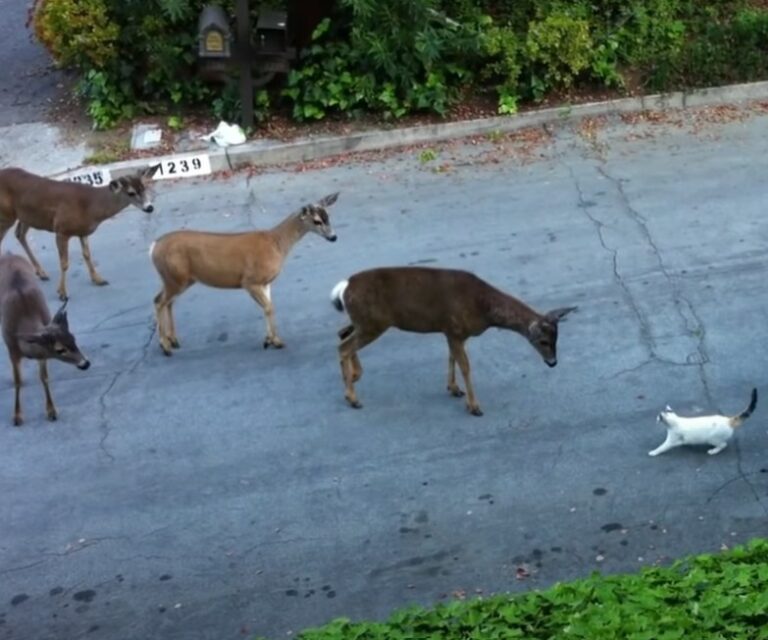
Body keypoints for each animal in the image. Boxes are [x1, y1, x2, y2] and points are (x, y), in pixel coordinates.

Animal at [0, 164, 160, 301]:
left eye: (144, 187)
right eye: (131, 193)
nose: (150, 207)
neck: (91, 207)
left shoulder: (83, 232)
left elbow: (87, 255)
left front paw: (98, 279)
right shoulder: (61, 229)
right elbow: (64, 263)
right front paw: (62, 293)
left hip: (26, 216)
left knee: (19, 234)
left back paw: (41, 273)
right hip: (6, 215)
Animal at [0, 253, 90, 426]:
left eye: (73, 338)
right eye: (59, 349)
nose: (85, 363)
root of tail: (8, 254)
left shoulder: (41, 354)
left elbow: (44, 378)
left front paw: (51, 411)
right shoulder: (12, 348)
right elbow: (17, 381)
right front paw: (17, 416)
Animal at [150, 192, 339, 356]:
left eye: (328, 216)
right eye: (316, 221)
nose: (333, 237)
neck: (276, 243)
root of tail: (153, 247)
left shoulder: (265, 282)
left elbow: (269, 306)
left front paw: (269, 340)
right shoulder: (250, 281)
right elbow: (269, 307)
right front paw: (276, 341)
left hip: (178, 279)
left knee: (167, 302)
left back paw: (173, 340)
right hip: (176, 278)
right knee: (159, 301)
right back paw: (165, 346)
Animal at [330, 266, 577, 416]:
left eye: (556, 338)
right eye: (543, 341)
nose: (553, 362)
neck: (483, 308)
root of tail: (344, 287)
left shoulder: (452, 332)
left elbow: (452, 359)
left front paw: (454, 389)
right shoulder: (455, 329)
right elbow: (465, 366)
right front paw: (475, 407)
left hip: (364, 321)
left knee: (342, 333)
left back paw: (354, 375)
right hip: (373, 323)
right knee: (344, 346)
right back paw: (352, 398)